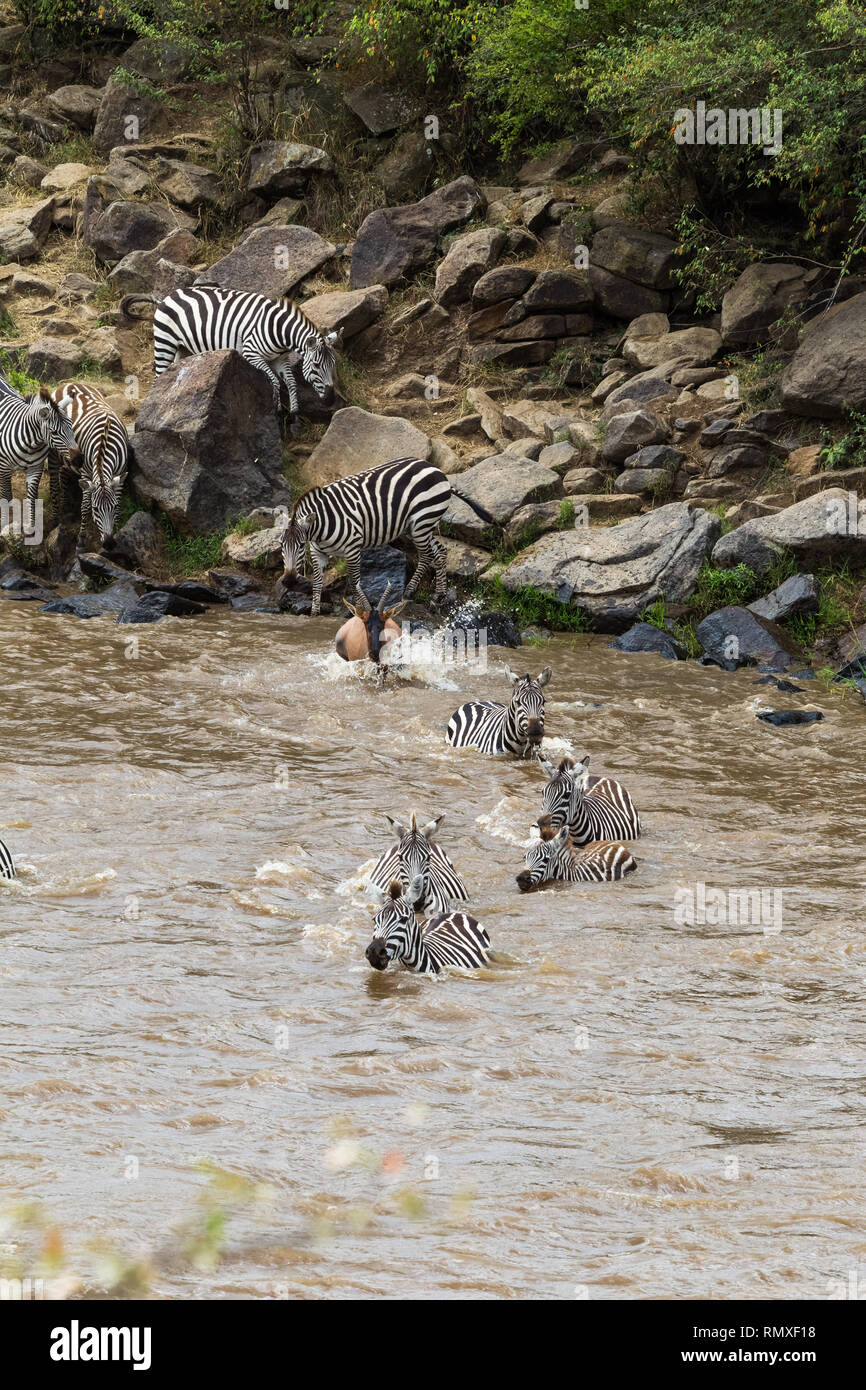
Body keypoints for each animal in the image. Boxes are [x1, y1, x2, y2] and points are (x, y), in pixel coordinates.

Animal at [0, 376, 79, 534]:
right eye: (54, 432)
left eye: (71, 425)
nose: (79, 459)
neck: (31, 444)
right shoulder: (5, 469)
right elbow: (6, 496)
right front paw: (5, 526)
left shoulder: (35, 468)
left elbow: (31, 497)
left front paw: (31, 526)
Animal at [49, 383, 130, 550]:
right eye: (96, 509)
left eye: (113, 507)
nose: (109, 544)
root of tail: (68, 383)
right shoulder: (87, 474)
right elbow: (84, 506)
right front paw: (81, 539)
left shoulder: (121, 473)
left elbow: (119, 502)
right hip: (54, 453)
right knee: (53, 484)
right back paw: (55, 519)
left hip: (69, 459)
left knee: (63, 473)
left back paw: (66, 508)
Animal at [119, 286, 341, 429]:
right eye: (316, 366)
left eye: (333, 365)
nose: (331, 400)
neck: (279, 330)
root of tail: (165, 297)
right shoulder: (252, 352)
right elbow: (274, 381)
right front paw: (278, 411)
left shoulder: (279, 359)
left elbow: (291, 382)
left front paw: (294, 417)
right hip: (165, 342)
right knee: (158, 377)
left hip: (183, 348)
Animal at [280, 457, 495, 616]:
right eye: (282, 546)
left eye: (301, 545)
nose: (288, 582)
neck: (321, 528)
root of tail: (435, 469)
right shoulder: (318, 553)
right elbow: (317, 583)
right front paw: (314, 614)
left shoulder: (353, 549)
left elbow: (354, 583)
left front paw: (361, 610)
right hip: (417, 527)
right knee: (439, 551)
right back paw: (439, 596)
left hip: (422, 521)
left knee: (426, 555)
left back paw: (409, 591)